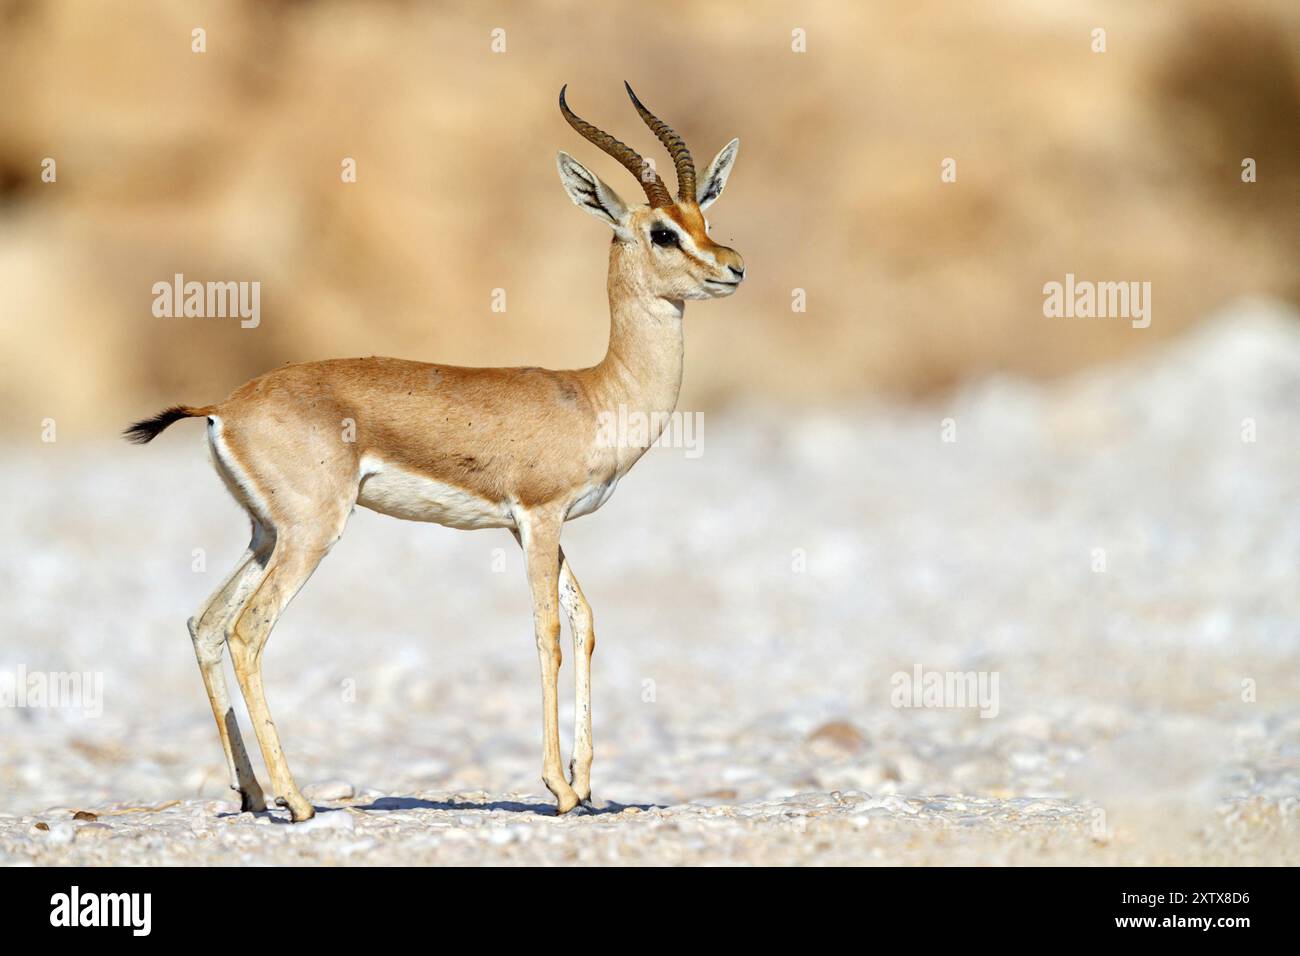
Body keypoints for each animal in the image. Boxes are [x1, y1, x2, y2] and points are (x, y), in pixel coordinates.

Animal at [123, 84, 744, 820]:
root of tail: (224, 405)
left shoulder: (533, 527)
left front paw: (587, 782)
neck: (595, 394)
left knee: (206, 622)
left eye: (704, 216)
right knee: (248, 630)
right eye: (662, 232)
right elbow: (548, 634)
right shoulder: (539, 517)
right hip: (311, 533)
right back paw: (298, 802)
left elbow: (585, 622)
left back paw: (252, 795)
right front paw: (560, 788)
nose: (734, 267)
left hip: (265, 532)